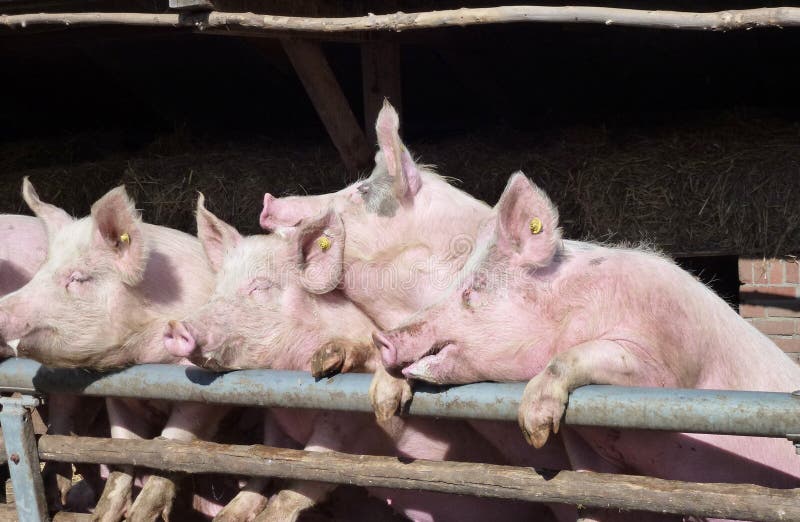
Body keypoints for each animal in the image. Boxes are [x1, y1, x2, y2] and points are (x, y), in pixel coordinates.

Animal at [0, 179, 232, 522]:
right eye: (39, 272)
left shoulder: (206, 390)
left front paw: (141, 514)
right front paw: (104, 513)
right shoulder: (120, 392)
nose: (1, 310)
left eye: (78, 278)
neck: (145, 356)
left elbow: (171, 448)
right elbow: (124, 450)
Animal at [164, 196, 561, 522]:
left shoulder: (348, 421)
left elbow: (310, 475)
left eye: (260, 286)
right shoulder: (276, 421)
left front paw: (328, 361)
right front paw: (227, 516)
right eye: (218, 287)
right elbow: (263, 464)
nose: (177, 327)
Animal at [374, 172, 800, 519]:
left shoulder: (666, 364)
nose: (382, 338)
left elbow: (577, 356)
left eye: (472, 291)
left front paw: (533, 425)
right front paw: (384, 401)